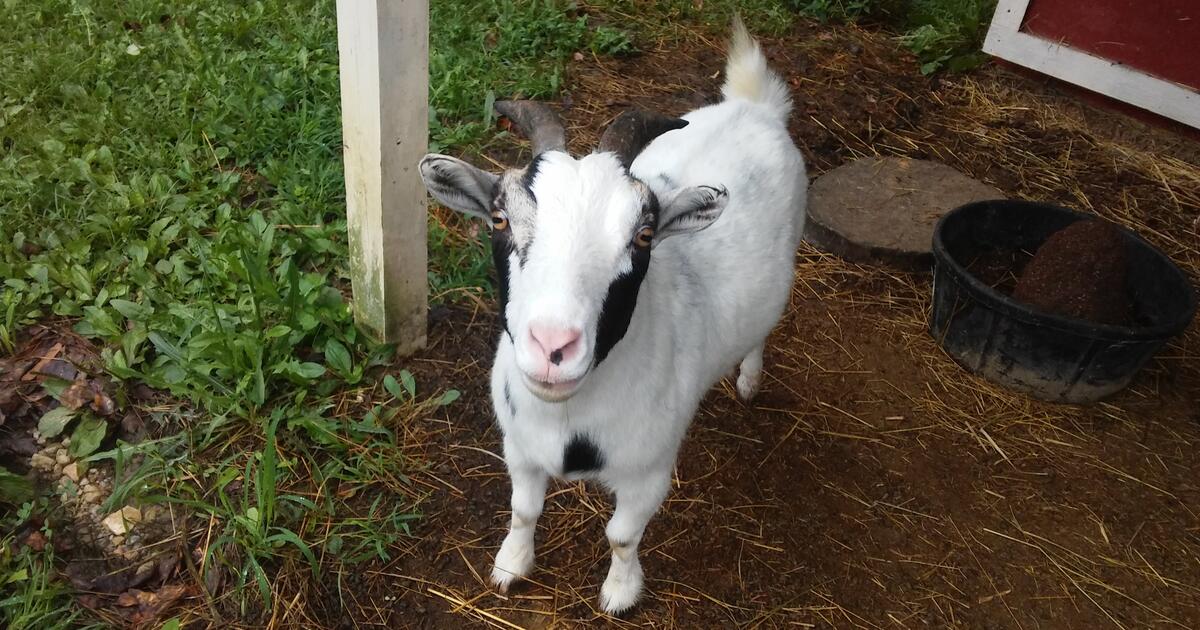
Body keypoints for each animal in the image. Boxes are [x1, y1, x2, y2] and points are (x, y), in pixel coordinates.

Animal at [418, 20, 807, 614]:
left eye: (643, 235)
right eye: (500, 219)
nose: (553, 346)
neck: (567, 418)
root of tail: (752, 105)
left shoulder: (649, 470)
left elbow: (622, 536)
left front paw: (621, 594)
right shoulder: (518, 447)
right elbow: (524, 510)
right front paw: (510, 566)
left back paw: (749, 380)